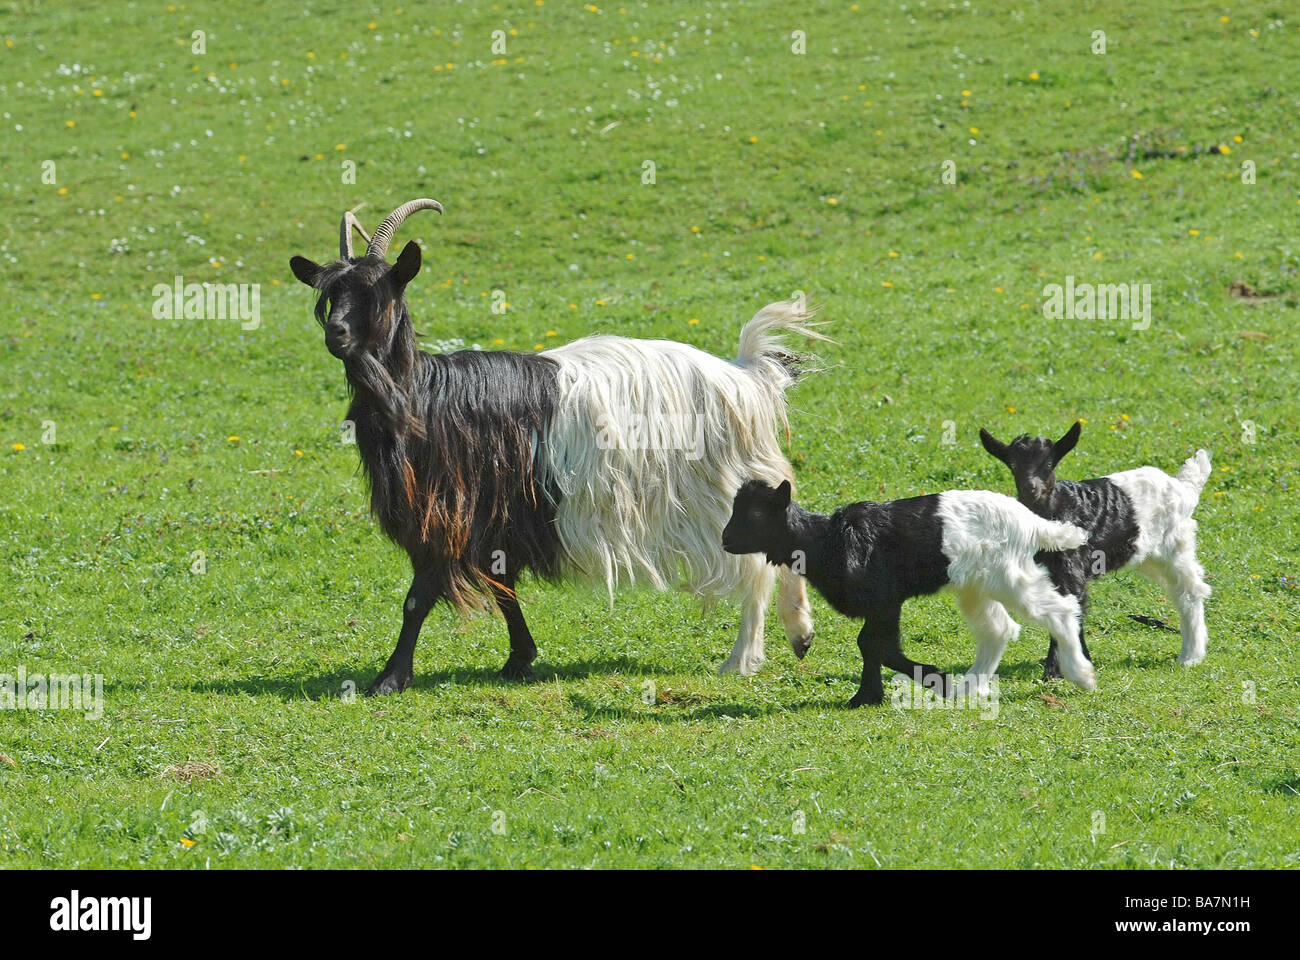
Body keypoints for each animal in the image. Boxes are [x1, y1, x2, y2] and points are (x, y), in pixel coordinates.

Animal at [289, 199, 827, 695]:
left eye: (376, 292)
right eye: (330, 294)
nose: (336, 333)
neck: (419, 395)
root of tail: (746, 378)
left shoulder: (450, 514)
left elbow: (417, 597)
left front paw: (390, 678)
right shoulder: (498, 516)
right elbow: (503, 588)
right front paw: (519, 658)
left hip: (718, 495)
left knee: (756, 568)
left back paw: (742, 658)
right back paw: (800, 632)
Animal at [721, 478, 1096, 707]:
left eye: (757, 513)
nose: (725, 540)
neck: (826, 540)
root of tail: (1033, 523)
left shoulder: (885, 601)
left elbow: (874, 644)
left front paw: (934, 680)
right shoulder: (880, 605)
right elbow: (870, 644)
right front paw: (867, 696)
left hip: (1008, 576)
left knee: (1060, 610)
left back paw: (1081, 675)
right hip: (976, 586)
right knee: (999, 629)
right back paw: (969, 688)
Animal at [979, 422, 1212, 677]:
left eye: (1049, 464)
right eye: (1013, 466)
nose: (1031, 489)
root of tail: (1183, 487)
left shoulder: (1071, 570)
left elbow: (1072, 610)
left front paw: (1057, 670)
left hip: (1176, 544)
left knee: (1191, 592)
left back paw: (1191, 656)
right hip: (1148, 555)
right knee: (1180, 592)